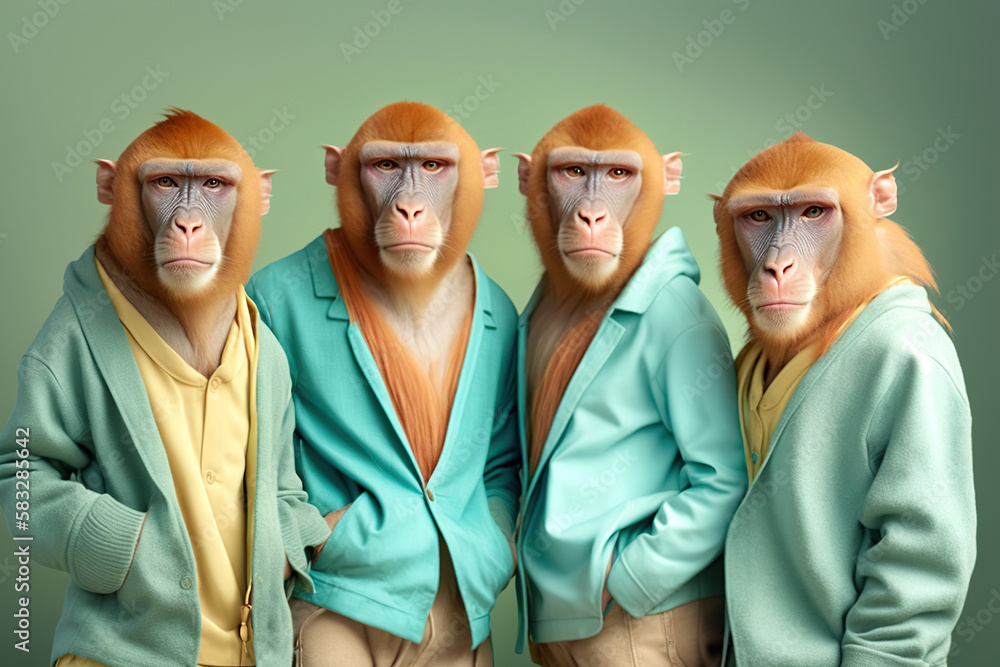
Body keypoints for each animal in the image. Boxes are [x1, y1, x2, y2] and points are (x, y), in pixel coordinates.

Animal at [0, 110, 332, 667]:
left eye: (214, 184)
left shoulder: (279, 361)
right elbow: (29, 464)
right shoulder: (52, 345)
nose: (189, 224)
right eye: (167, 183)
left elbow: (286, 486)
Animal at [245, 101, 520, 666]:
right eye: (386, 166)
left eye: (433, 166)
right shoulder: (264, 297)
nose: (409, 208)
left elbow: (500, 460)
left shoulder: (504, 315)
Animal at [511, 105, 747, 666]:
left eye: (619, 173)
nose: (592, 216)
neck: (587, 295)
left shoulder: (688, 333)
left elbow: (720, 477)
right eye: (573, 172)